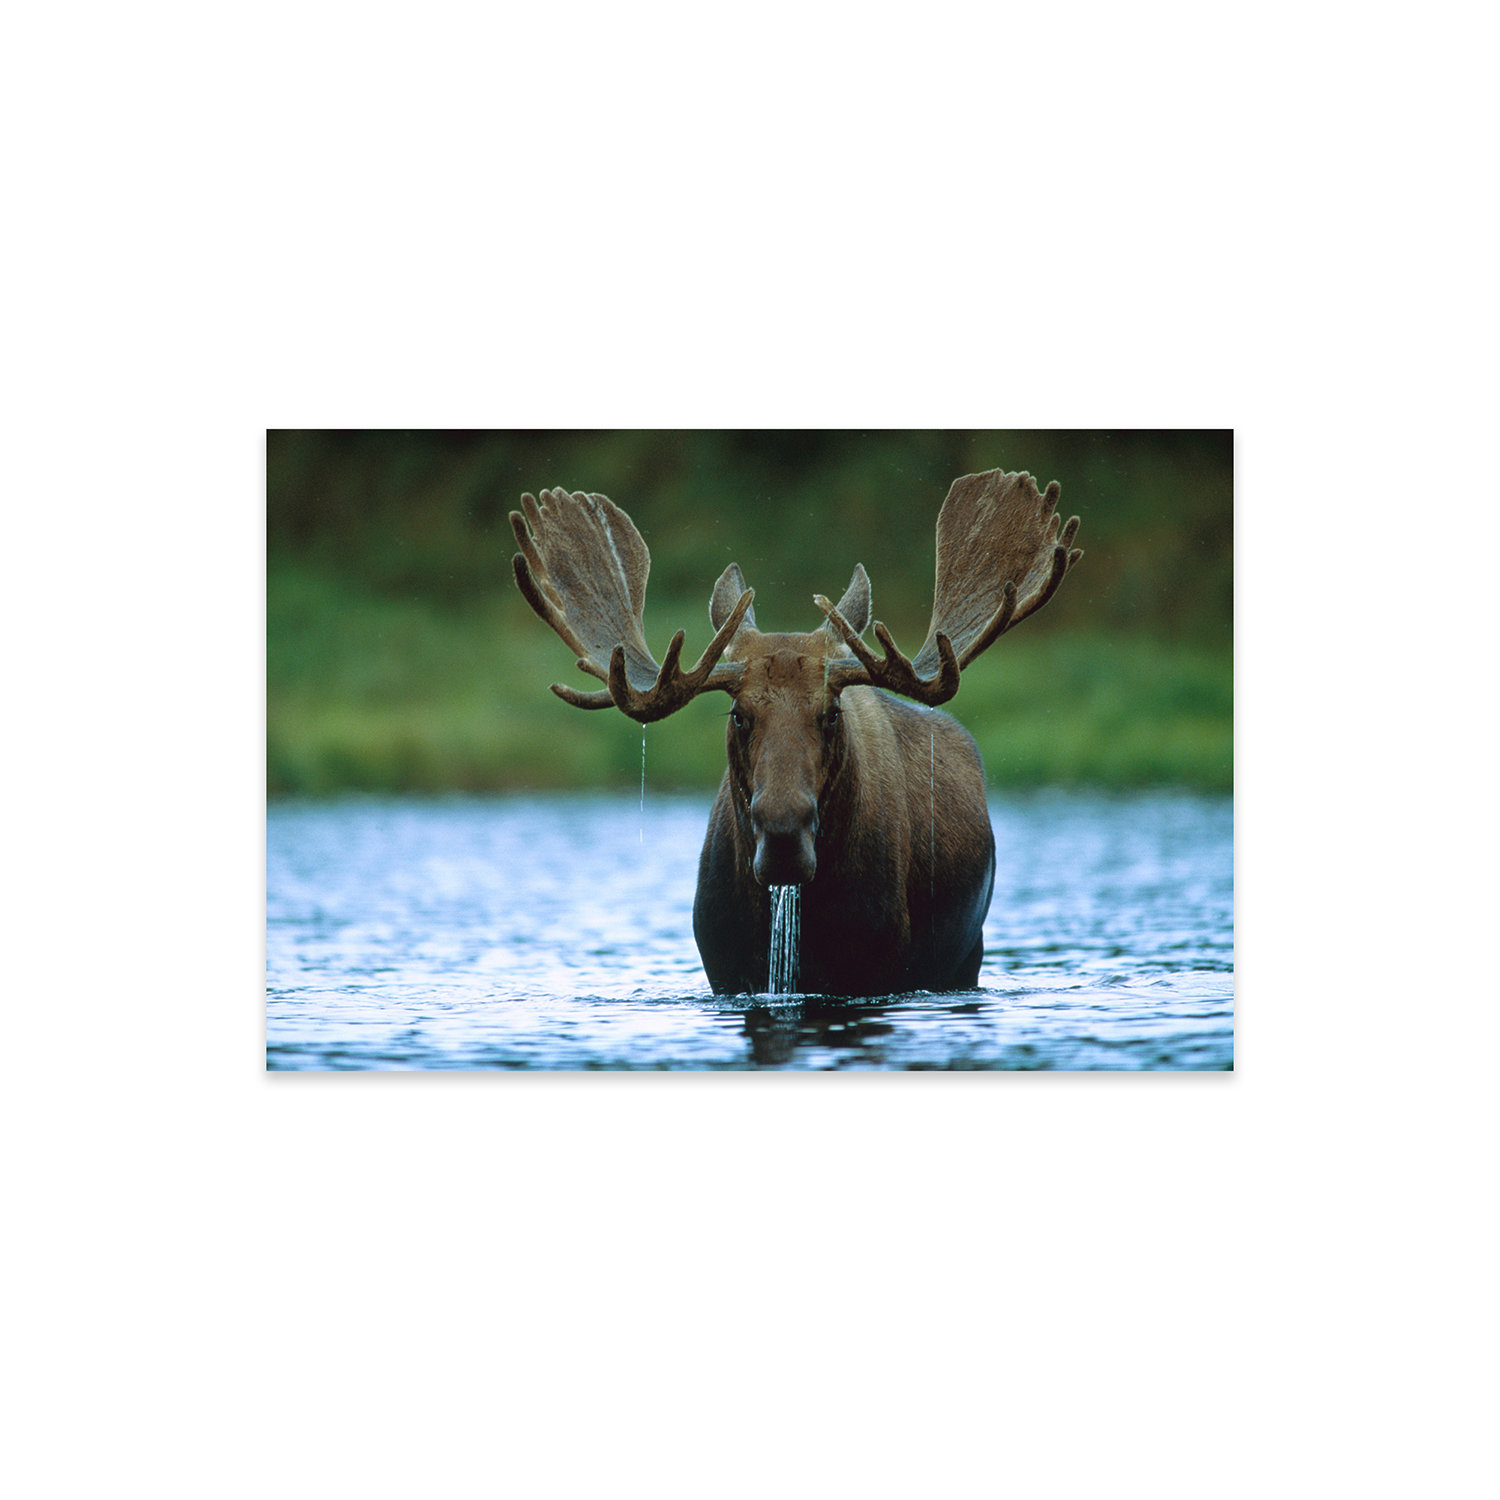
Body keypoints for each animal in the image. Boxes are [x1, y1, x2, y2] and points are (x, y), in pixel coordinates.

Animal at [510, 469, 1082, 997]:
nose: (783, 833)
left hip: (970, 952)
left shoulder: (879, 963)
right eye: (738, 715)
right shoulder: (725, 967)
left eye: (831, 713)